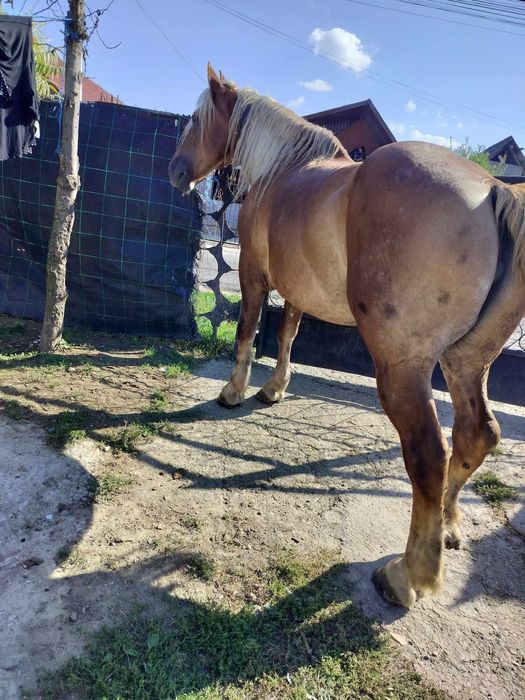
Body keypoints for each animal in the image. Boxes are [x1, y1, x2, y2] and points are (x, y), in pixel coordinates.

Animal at [169, 64, 525, 608]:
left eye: (194, 118)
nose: (174, 171)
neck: (284, 170)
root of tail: (493, 189)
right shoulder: (296, 289)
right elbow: (288, 333)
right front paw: (274, 389)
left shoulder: (253, 276)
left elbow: (249, 331)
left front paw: (234, 391)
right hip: (467, 362)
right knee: (476, 435)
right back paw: (447, 526)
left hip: (404, 369)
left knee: (429, 455)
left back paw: (407, 575)